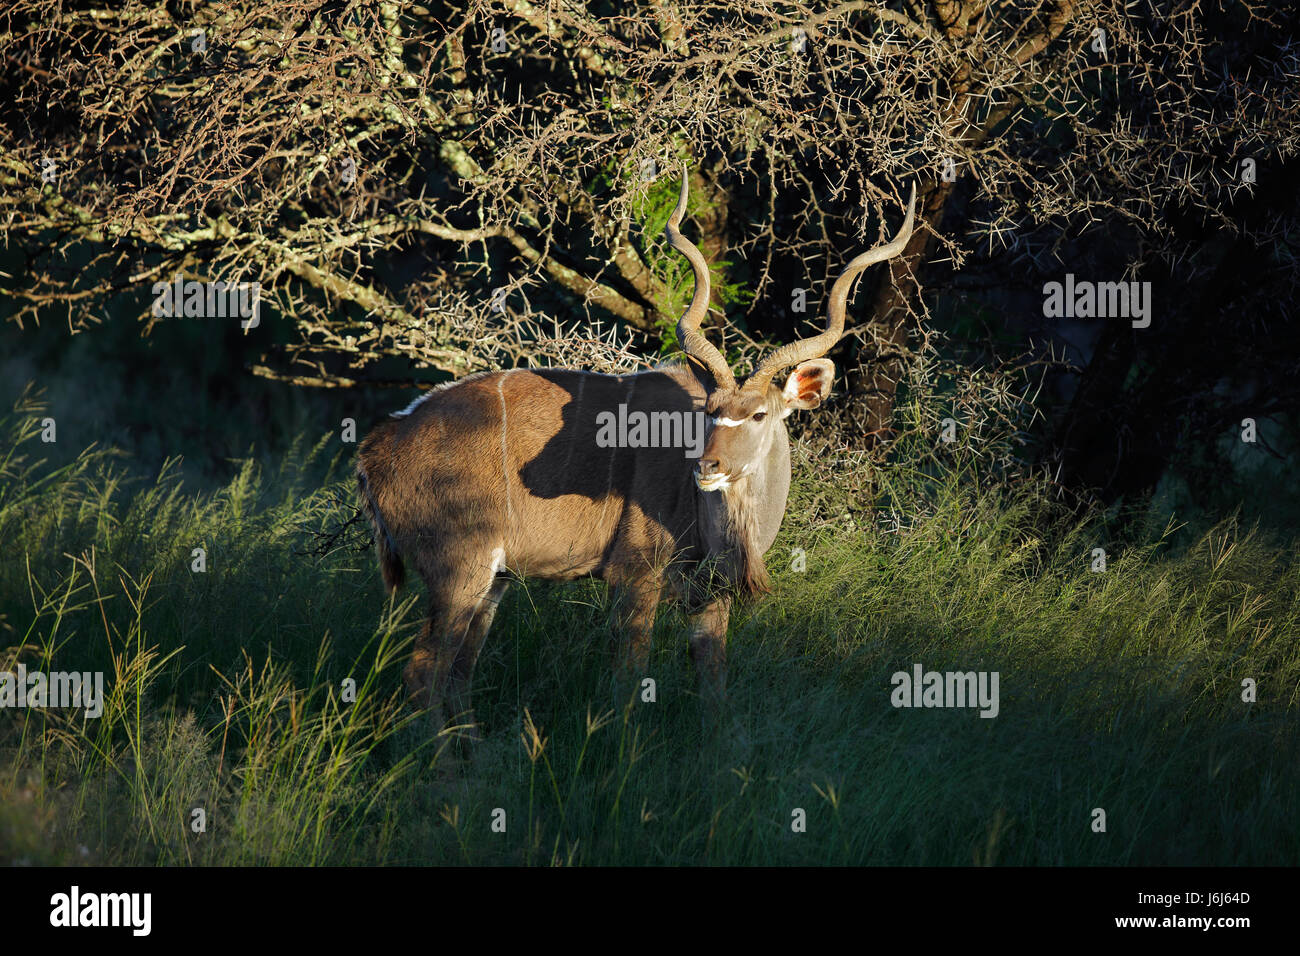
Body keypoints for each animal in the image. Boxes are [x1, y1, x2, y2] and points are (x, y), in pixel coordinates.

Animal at [357, 172, 916, 736]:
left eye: (758, 415)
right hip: (459, 569)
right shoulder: (634, 578)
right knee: (424, 672)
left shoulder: (709, 600)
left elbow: (713, 685)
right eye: (711, 410)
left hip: (494, 582)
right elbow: (628, 683)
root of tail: (379, 445)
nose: (707, 467)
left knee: (458, 674)